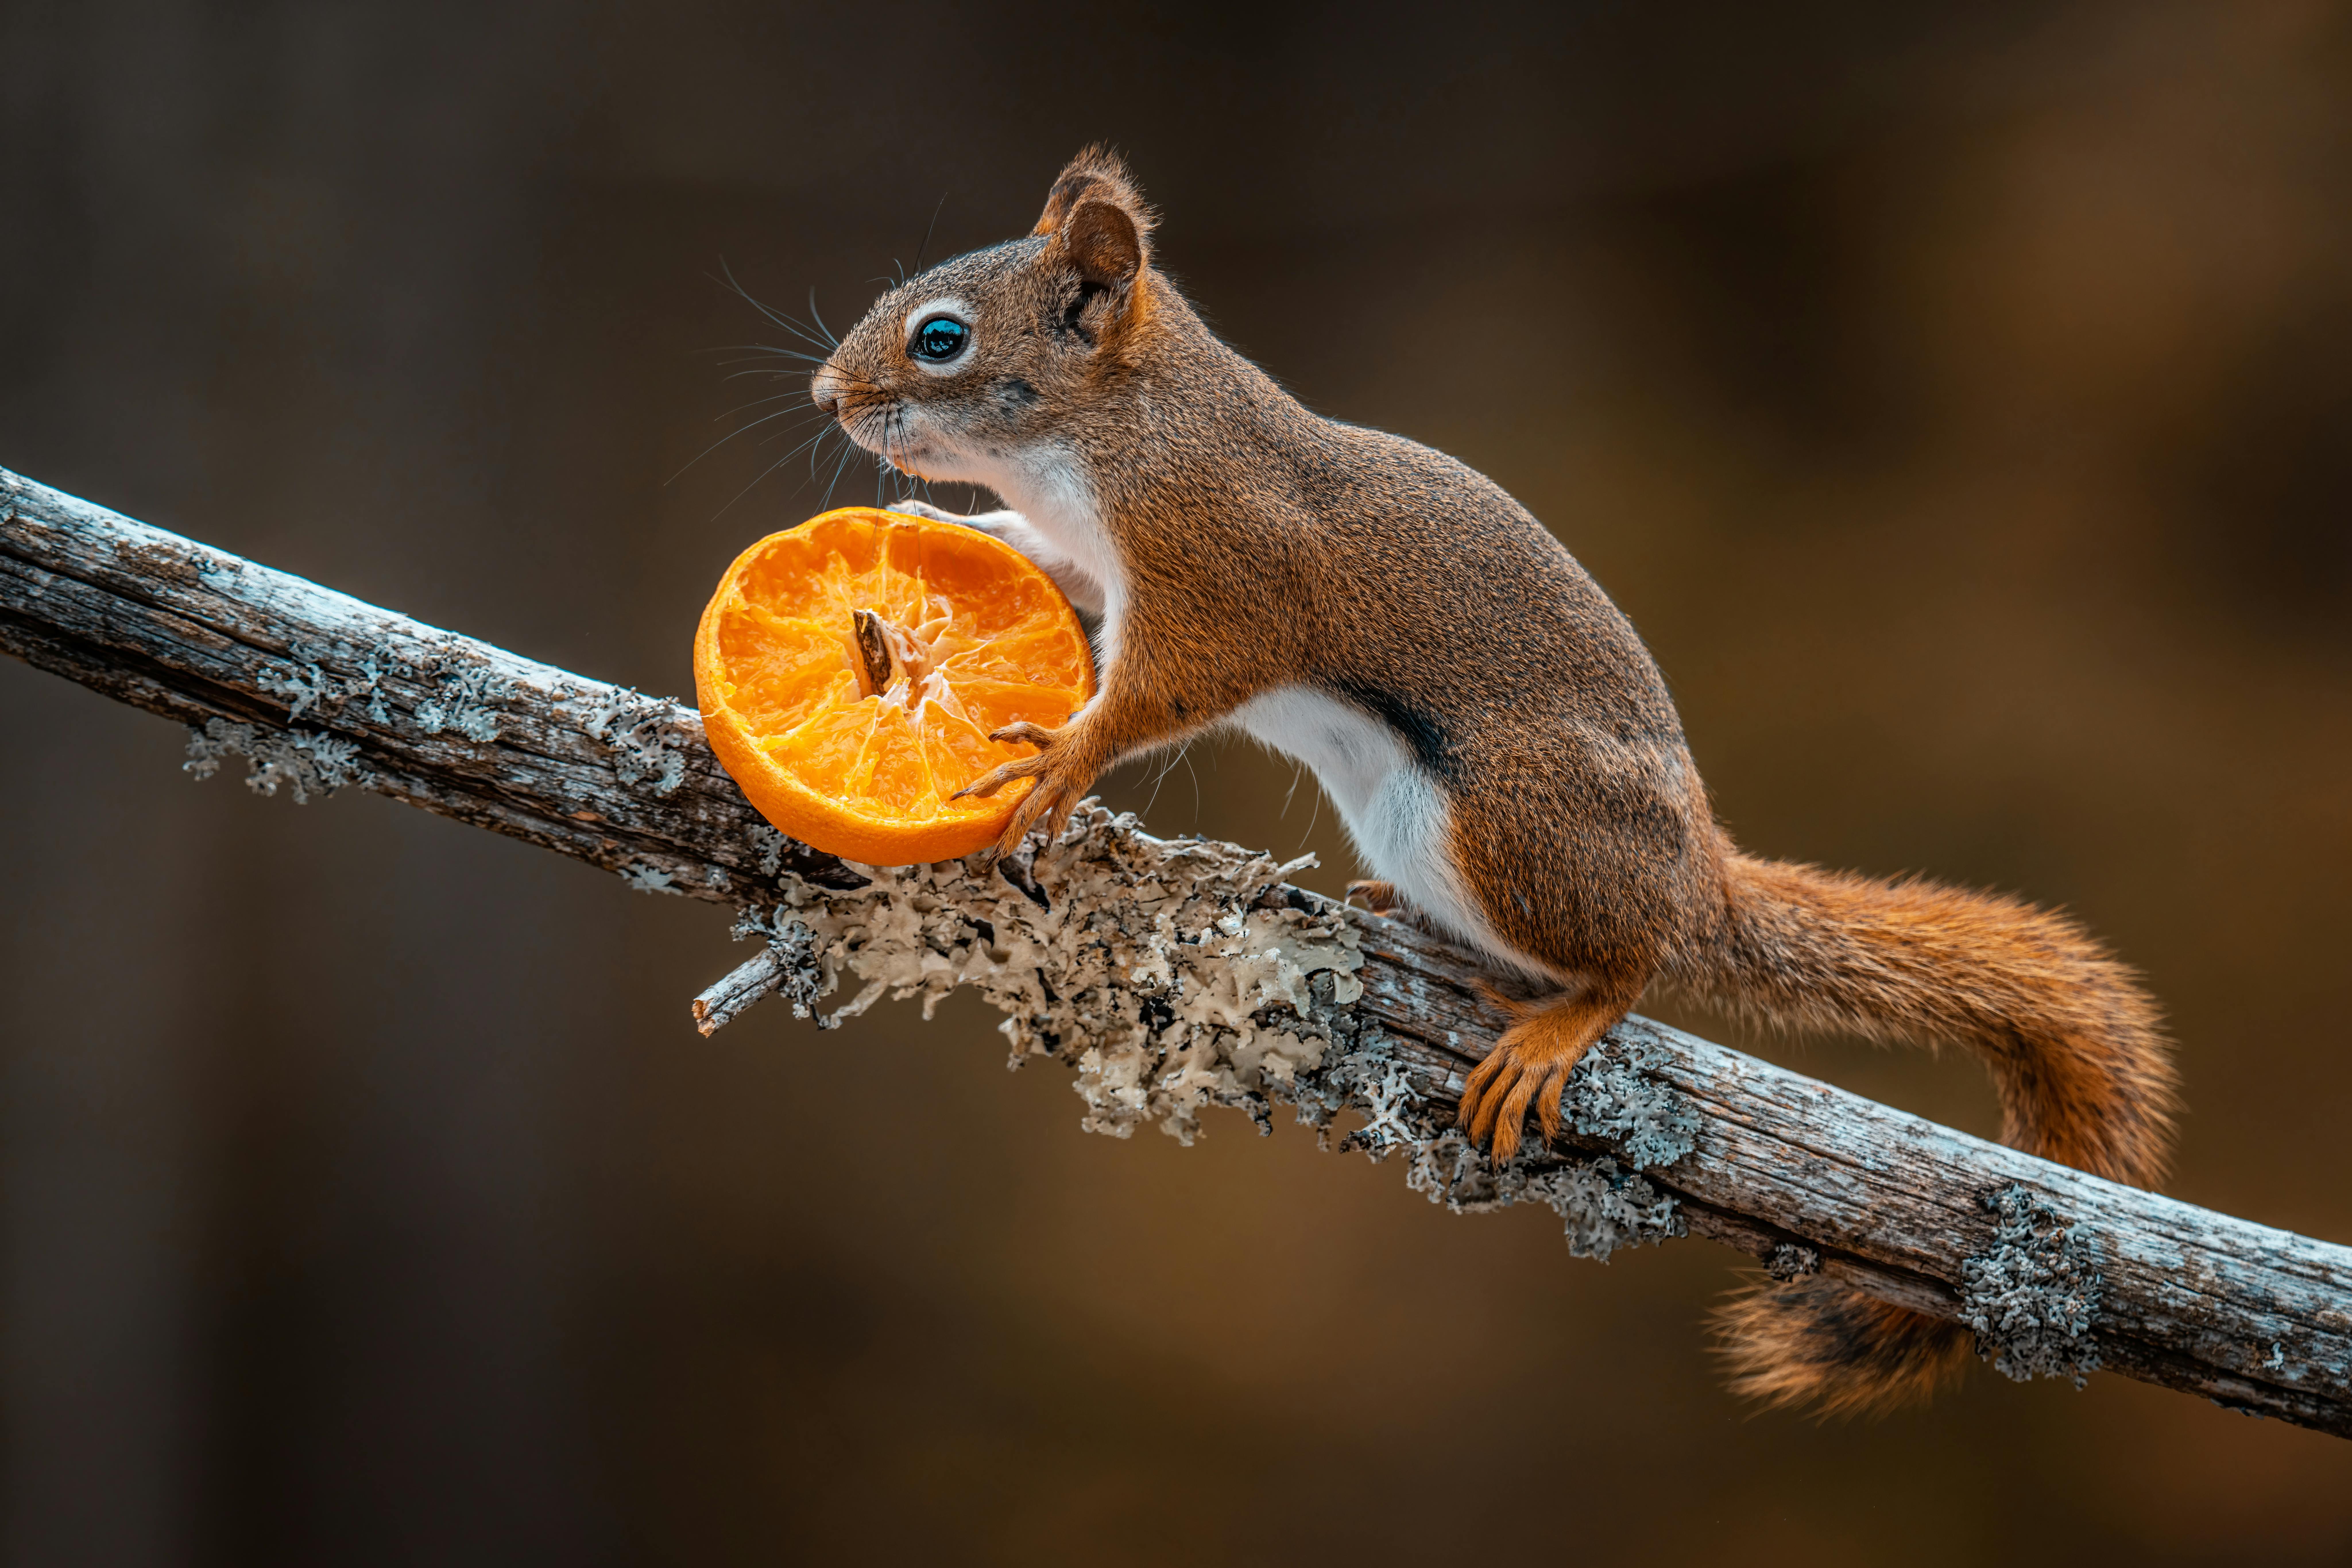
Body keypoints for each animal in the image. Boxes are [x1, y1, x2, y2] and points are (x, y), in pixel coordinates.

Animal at [809, 147, 2180, 1416]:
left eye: (942, 339)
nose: (826, 395)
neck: (1116, 433)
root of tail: (1701, 874)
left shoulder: (1222, 575)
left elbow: (1161, 691)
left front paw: (1062, 759)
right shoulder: (1100, 559)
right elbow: (1044, 566)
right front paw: (957, 538)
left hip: (1510, 823)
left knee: (1634, 963)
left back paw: (1559, 1021)